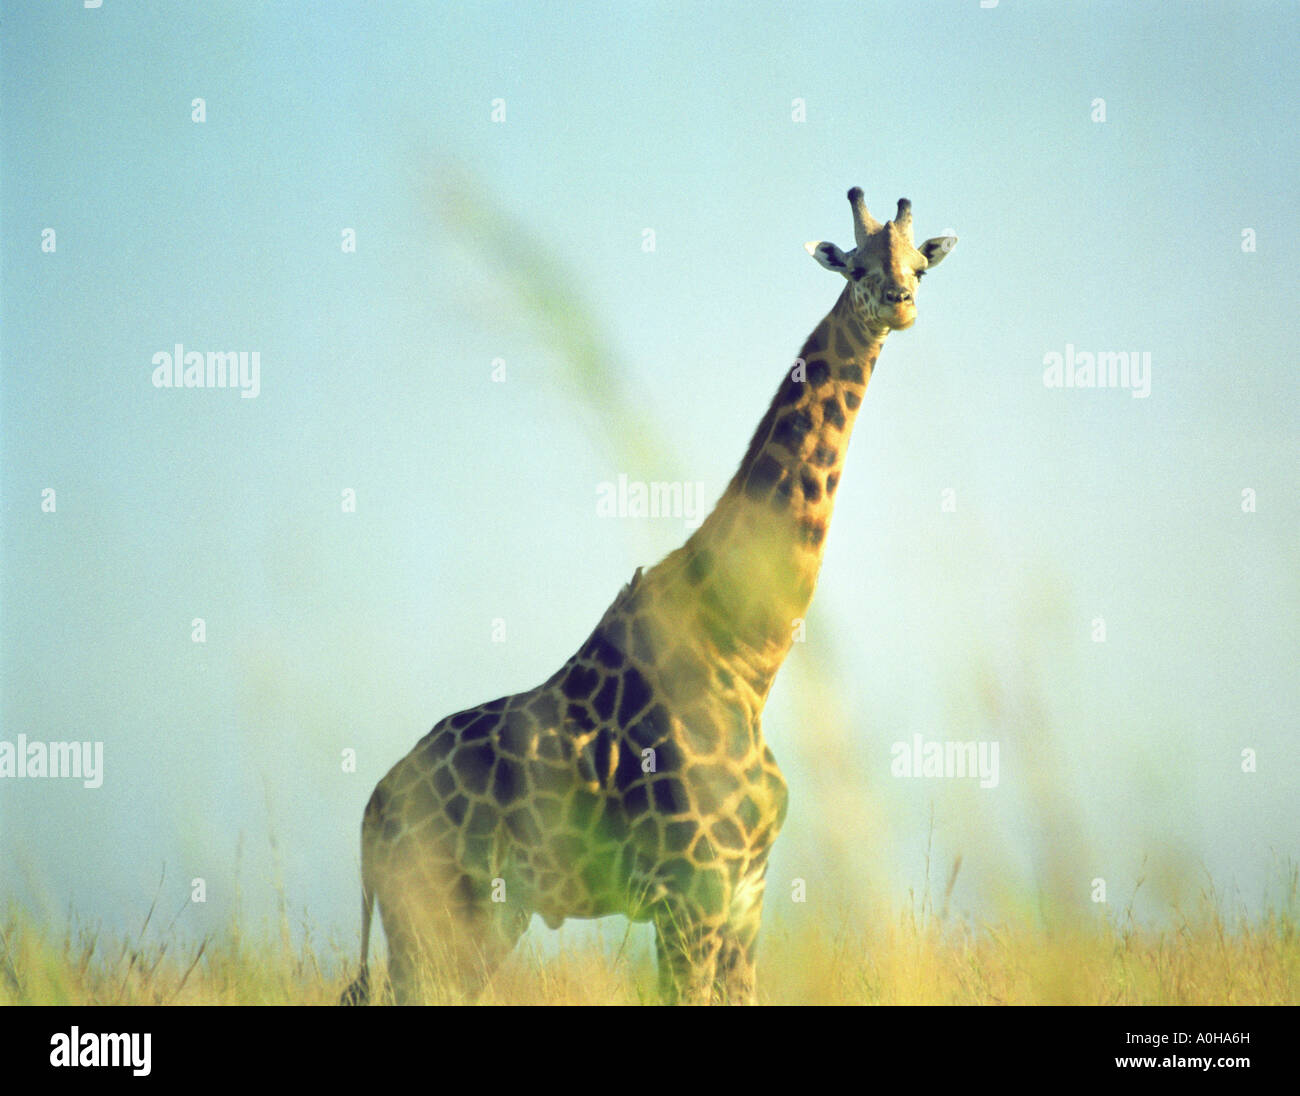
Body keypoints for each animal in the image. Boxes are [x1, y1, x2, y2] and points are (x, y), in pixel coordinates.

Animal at [342, 188, 956, 1005]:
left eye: (919, 263)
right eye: (856, 264)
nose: (900, 302)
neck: (749, 657)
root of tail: (371, 813)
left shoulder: (745, 893)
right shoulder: (687, 890)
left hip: (486, 917)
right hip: (435, 910)